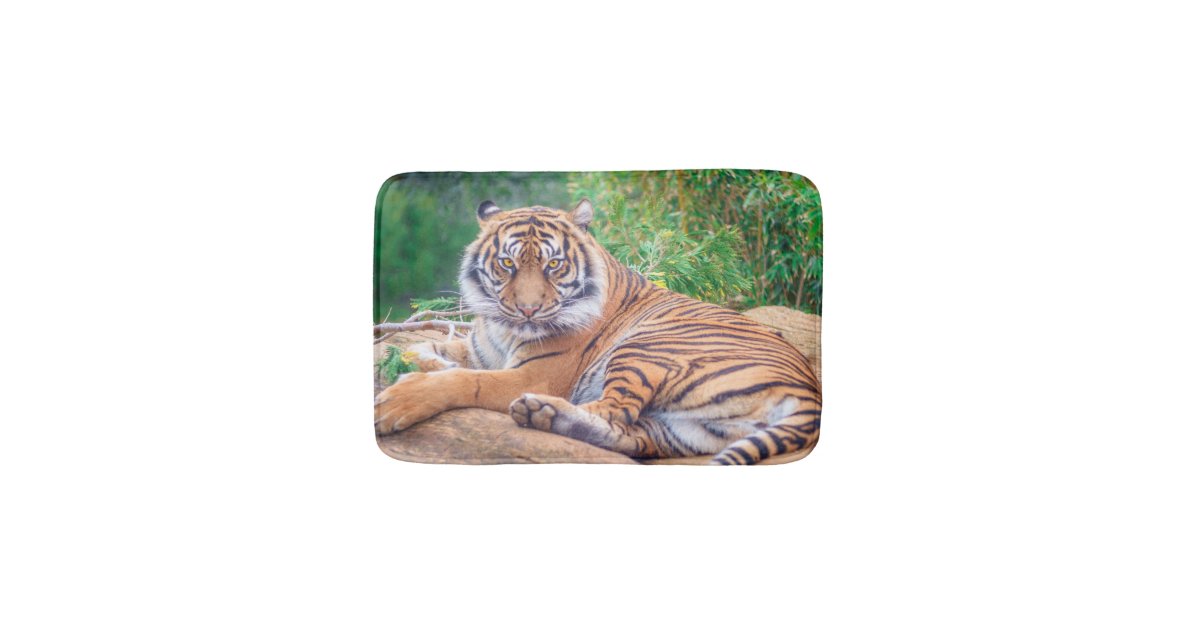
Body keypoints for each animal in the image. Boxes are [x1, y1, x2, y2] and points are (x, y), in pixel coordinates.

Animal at [374, 199, 822, 464]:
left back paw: (539, 409)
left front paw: (397, 401)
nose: (528, 309)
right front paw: (421, 361)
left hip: (645, 348)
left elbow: (469, 381)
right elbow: (432, 348)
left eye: (553, 265)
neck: (506, 329)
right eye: (507, 263)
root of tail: (810, 392)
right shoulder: (481, 349)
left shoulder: (535, 374)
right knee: (630, 435)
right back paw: (546, 416)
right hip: (686, 430)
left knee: (614, 408)